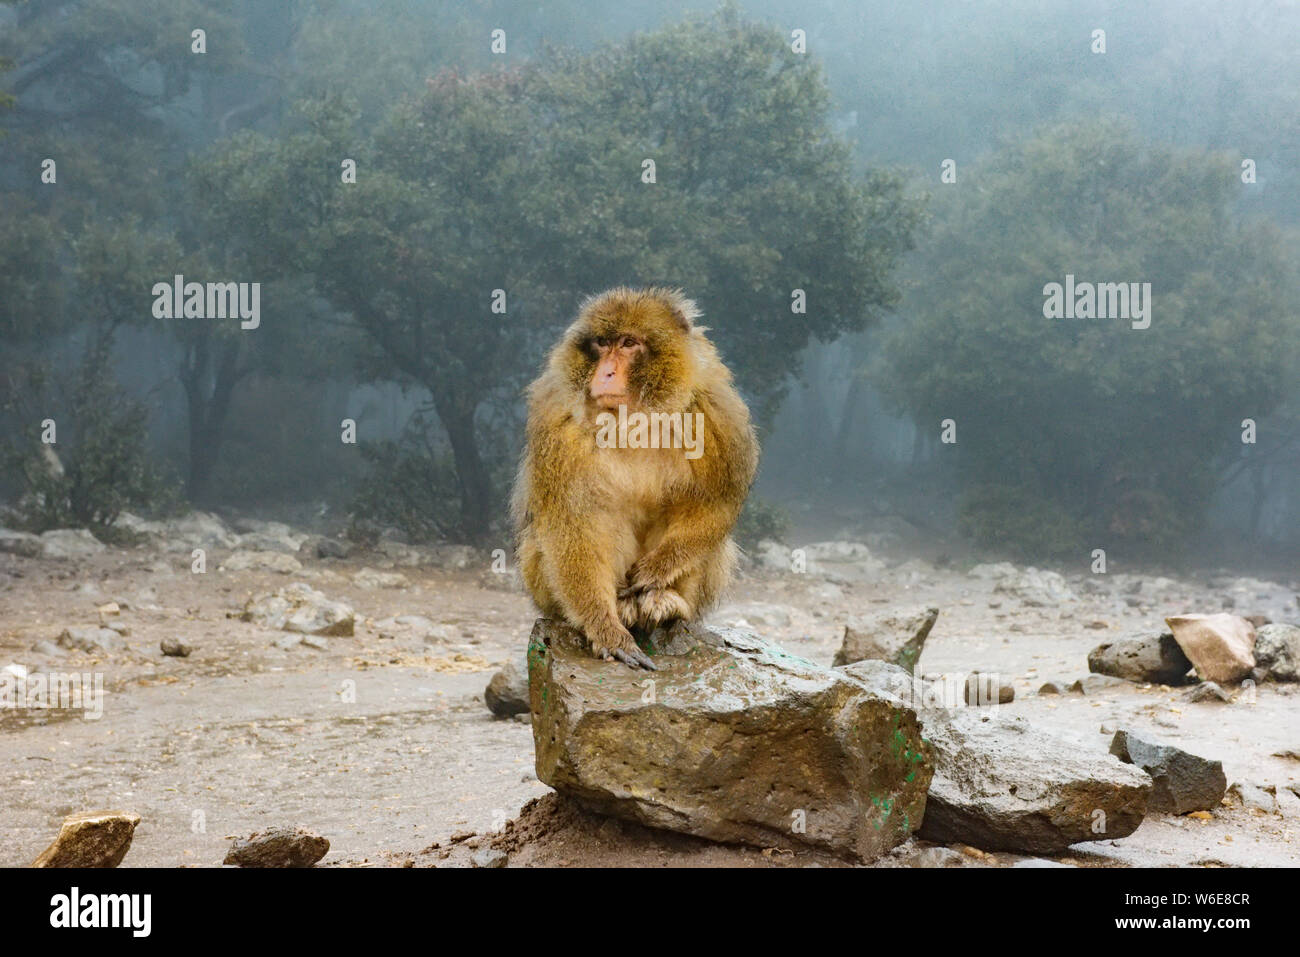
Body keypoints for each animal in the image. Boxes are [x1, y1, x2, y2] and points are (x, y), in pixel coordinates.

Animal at [512, 287, 759, 670]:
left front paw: (657, 571)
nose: (605, 373)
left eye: (628, 343)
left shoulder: (714, 411)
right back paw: (623, 609)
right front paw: (605, 628)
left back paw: (665, 603)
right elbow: (571, 524)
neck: (635, 416)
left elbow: (716, 501)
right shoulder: (558, 425)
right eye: (602, 343)